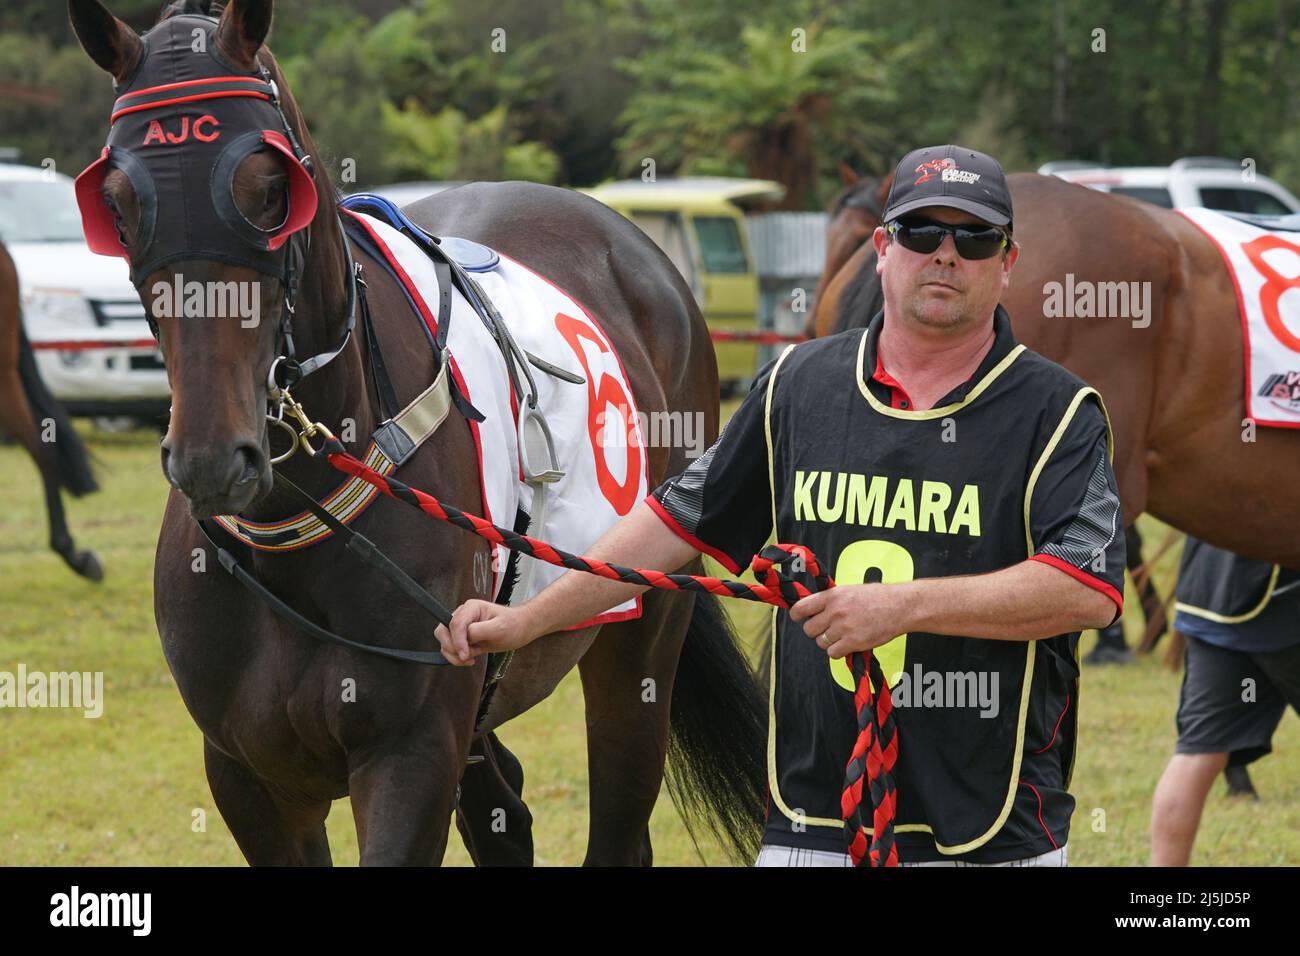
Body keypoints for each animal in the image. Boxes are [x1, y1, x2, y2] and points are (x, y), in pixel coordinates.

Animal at [69, 0, 765, 865]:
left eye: (269, 189)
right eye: (119, 204)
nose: (210, 459)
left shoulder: (410, 755)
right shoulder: (248, 778)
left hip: (636, 638)